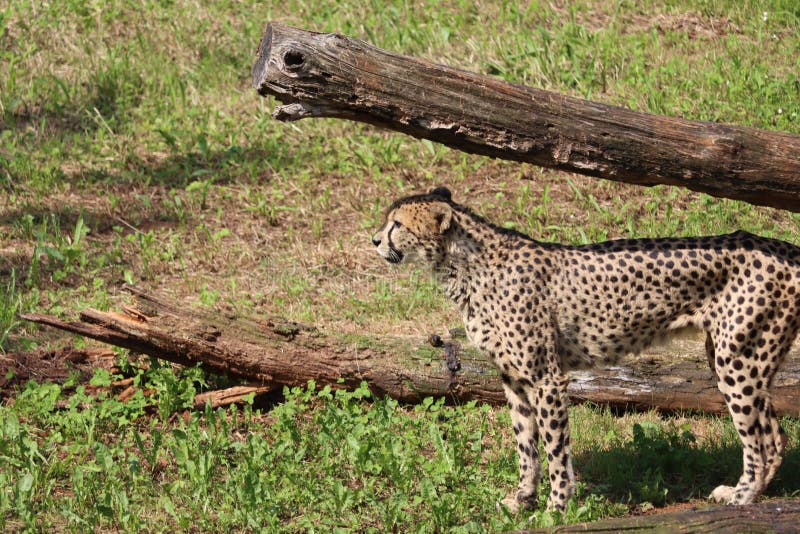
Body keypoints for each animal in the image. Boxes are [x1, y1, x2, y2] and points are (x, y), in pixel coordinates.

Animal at [371, 186, 800, 512]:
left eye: (397, 224)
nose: (375, 240)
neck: (466, 265)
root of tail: (784, 248)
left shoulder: (546, 378)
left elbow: (555, 449)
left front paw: (557, 507)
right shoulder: (513, 379)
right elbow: (526, 446)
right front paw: (521, 501)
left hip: (736, 361)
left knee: (762, 440)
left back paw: (742, 499)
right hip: (742, 359)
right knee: (776, 435)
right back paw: (748, 494)